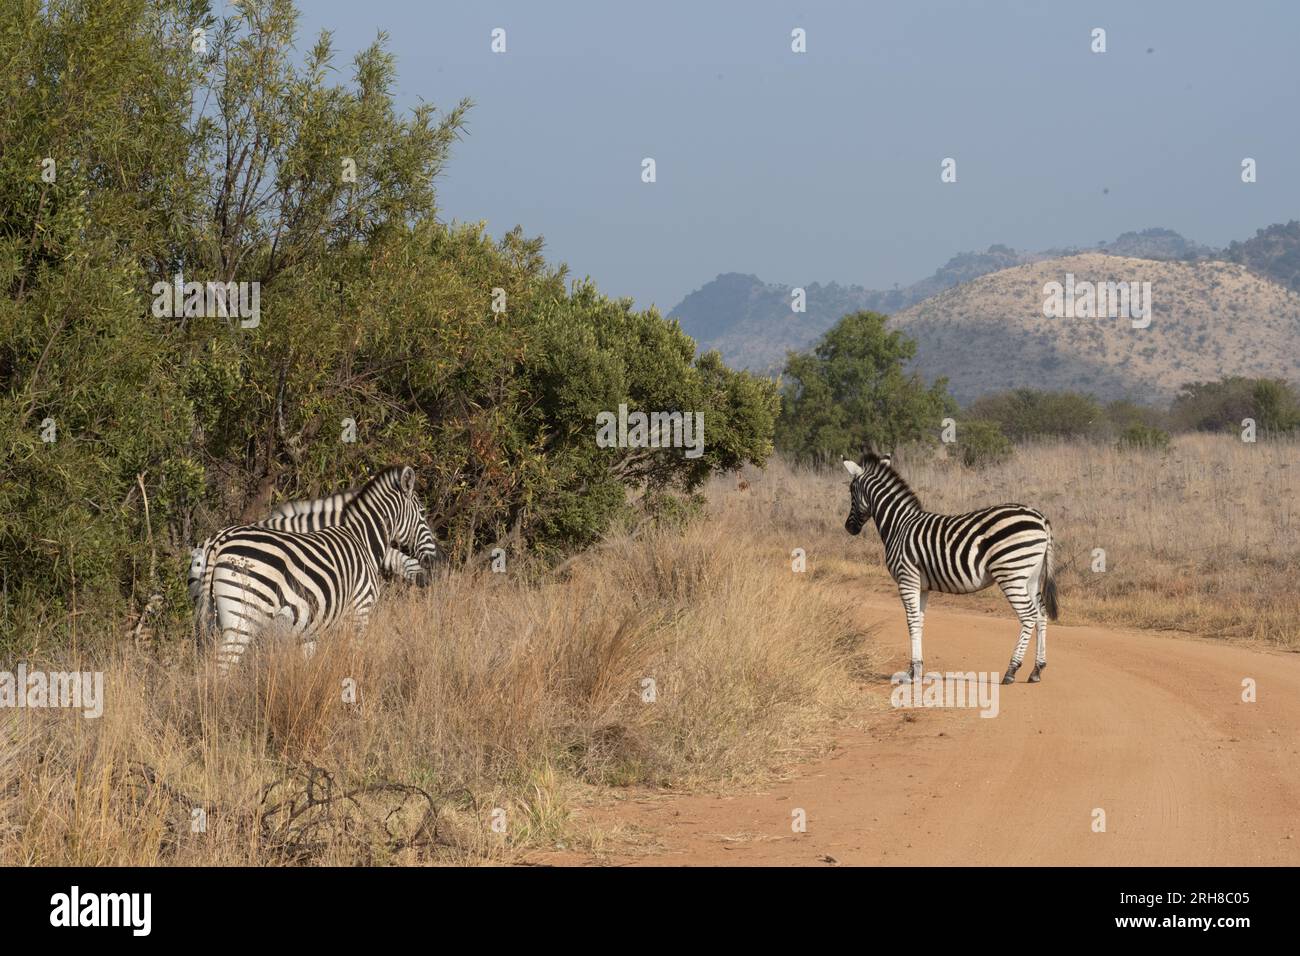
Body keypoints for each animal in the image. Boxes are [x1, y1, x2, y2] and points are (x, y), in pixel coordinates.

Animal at [193, 465, 440, 670]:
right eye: (422, 513)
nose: (435, 562)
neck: (361, 539)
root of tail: (219, 541)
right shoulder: (360, 610)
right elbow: (354, 656)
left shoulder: (311, 629)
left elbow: (308, 667)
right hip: (242, 619)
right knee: (222, 669)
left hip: (213, 618)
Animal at [842, 452, 1059, 685]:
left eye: (851, 491)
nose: (849, 528)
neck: (899, 525)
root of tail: (1040, 518)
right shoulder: (921, 585)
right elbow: (919, 621)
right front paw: (914, 669)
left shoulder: (906, 578)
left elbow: (911, 621)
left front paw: (913, 671)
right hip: (1031, 576)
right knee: (1041, 614)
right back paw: (1036, 670)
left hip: (1011, 573)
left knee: (1028, 615)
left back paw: (1011, 670)